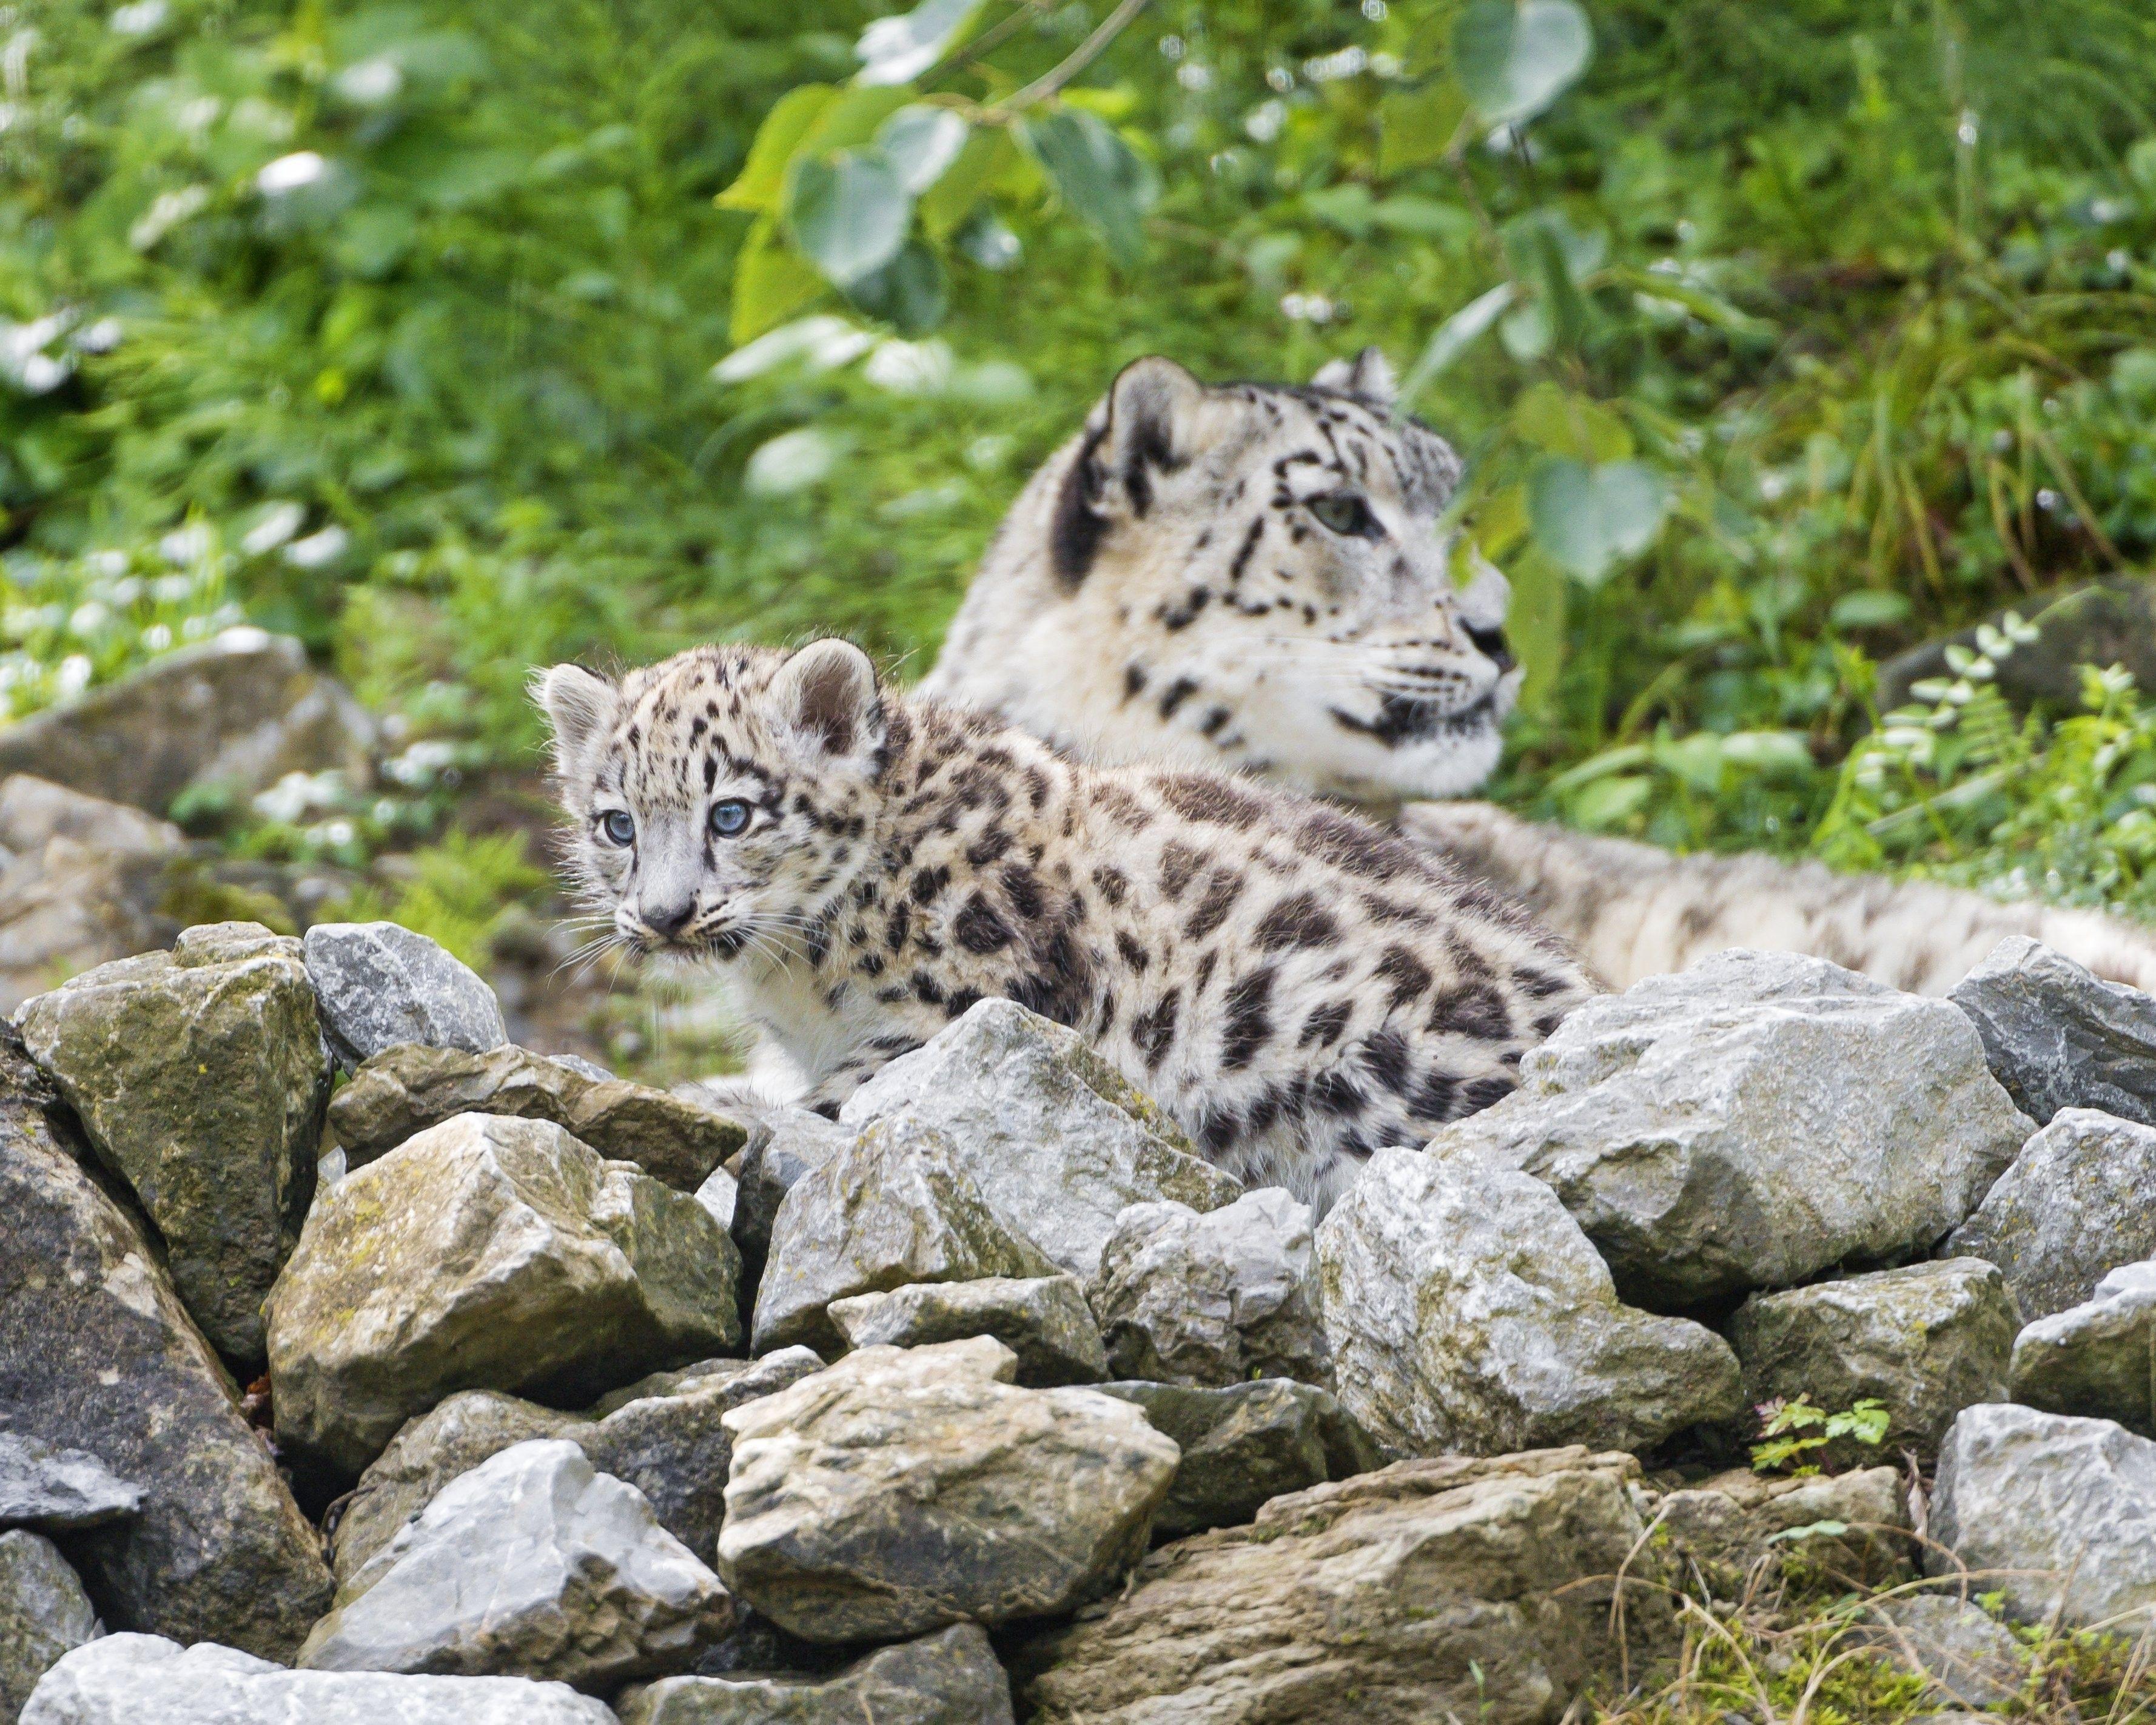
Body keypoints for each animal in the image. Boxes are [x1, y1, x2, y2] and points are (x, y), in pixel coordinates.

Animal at [538, 637, 1595, 1212]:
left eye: (730, 814)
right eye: (617, 824)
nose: (664, 914)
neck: (802, 980)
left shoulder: (943, 1013)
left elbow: (828, 1111)